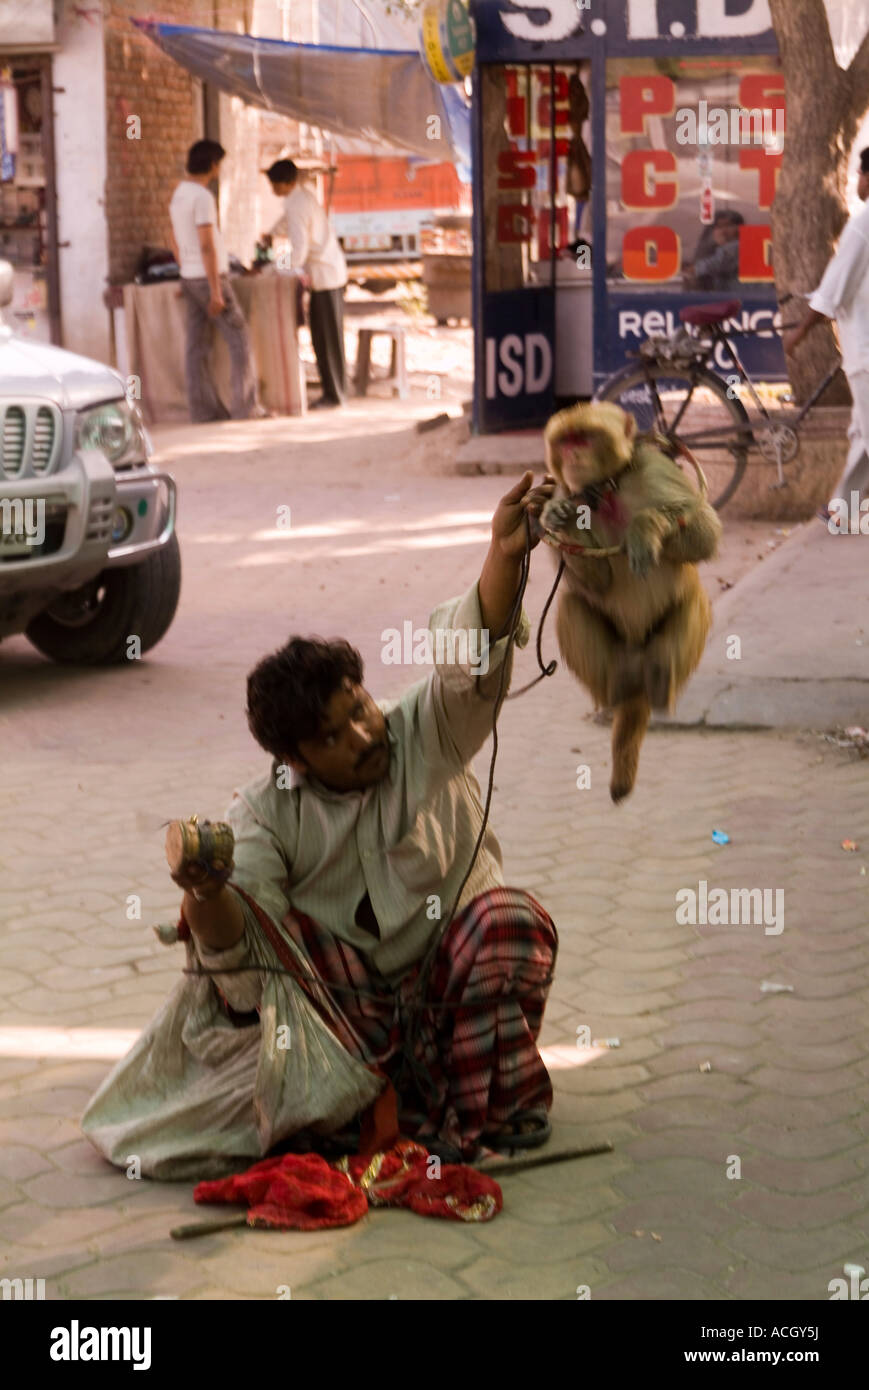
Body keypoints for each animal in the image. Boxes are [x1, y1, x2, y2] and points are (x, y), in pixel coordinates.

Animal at [538, 401, 722, 802]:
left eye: (584, 438)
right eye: (565, 442)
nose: (572, 456)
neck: (609, 490)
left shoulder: (656, 470)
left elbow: (704, 530)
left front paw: (645, 526)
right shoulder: (570, 491)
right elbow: (597, 580)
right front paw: (559, 518)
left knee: (693, 601)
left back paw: (661, 687)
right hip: (613, 663)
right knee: (572, 604)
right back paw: (614, 696)